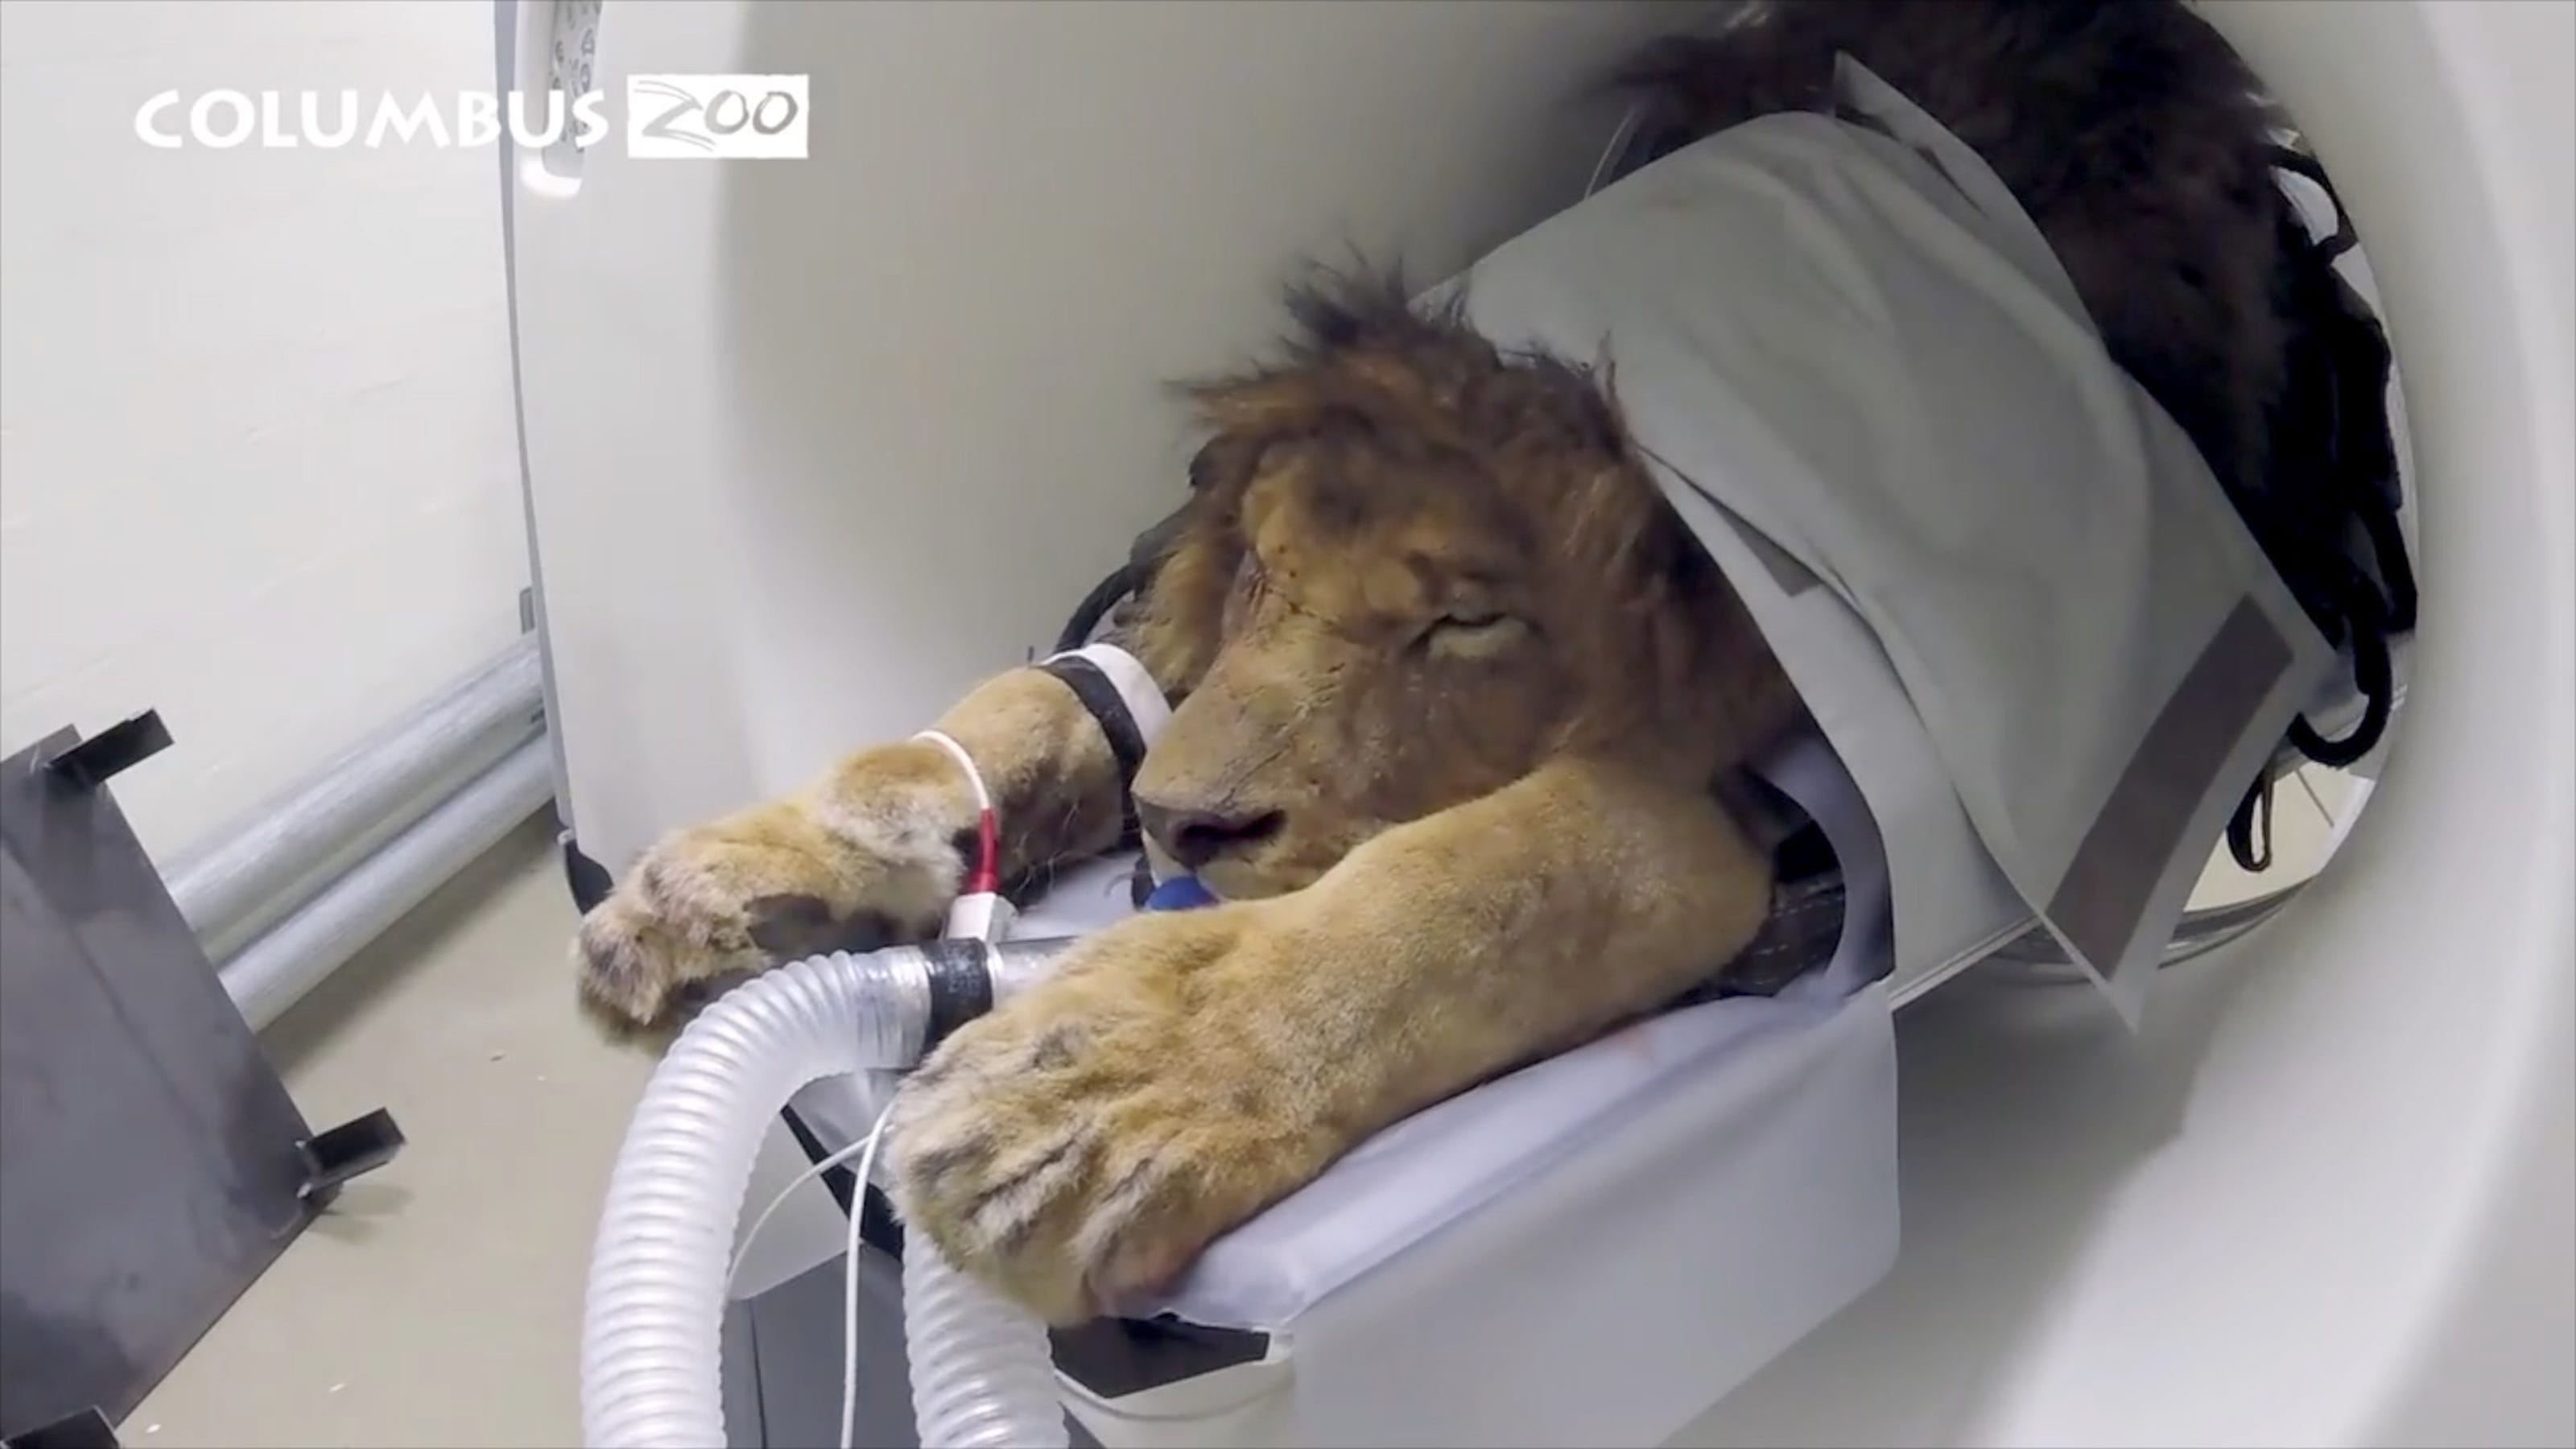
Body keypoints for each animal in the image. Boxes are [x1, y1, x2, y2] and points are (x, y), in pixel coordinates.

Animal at [575, 0, 2309, 1323]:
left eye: (1469, 621)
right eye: (1262, 569)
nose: (1182, 830)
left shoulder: (1743, 799)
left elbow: (1477, 882)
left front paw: (1098, 1089)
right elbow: (1033, 707)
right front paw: (747, 874)